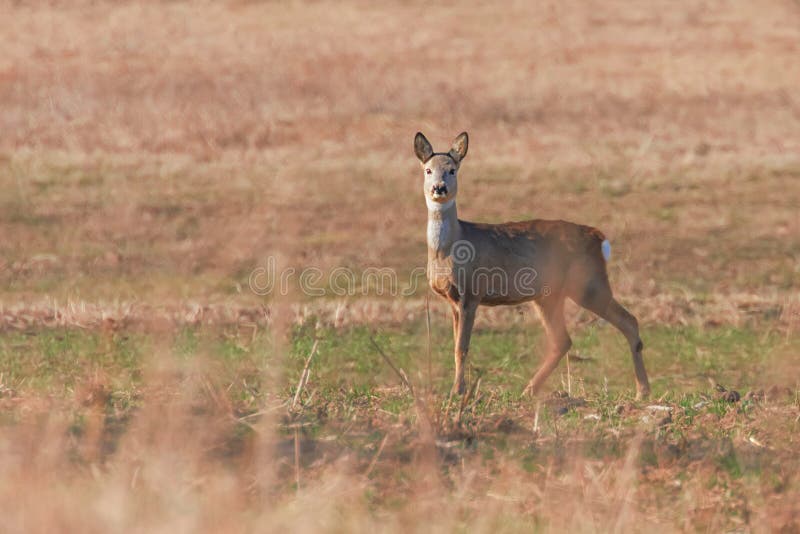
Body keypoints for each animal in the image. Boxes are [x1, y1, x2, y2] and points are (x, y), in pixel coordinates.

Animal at [415, 131, 650, 400]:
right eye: (428, 170)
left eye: (452, 169)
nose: (439, 188)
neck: (450, 246)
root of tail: (598, 237)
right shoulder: (453, 300)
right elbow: (456, 346)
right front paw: (457, 389)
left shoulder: (471, 293)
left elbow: (461, 347)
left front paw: (457, 391)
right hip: (550, 295)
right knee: (563, 340)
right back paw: (530, 389)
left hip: (588, 283)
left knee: (628, 321)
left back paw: (642, 391)